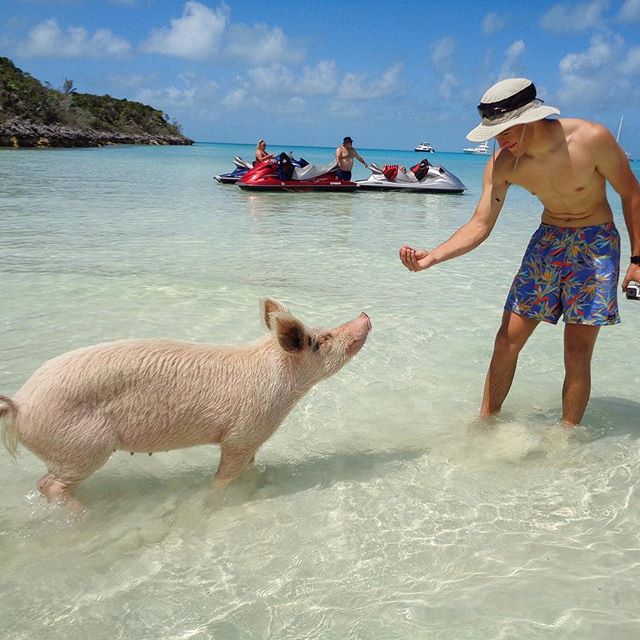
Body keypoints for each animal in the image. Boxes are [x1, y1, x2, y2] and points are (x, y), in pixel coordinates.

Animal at [0, 299, 370, 504]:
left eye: (323, 330)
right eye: (322, 339)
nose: (364, 315)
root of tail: (19, 404)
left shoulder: (252, 440)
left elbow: (250, 467)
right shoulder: (242, 433)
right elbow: (225, 475)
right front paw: (216, 496)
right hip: (80, 447)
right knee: (49, 485)